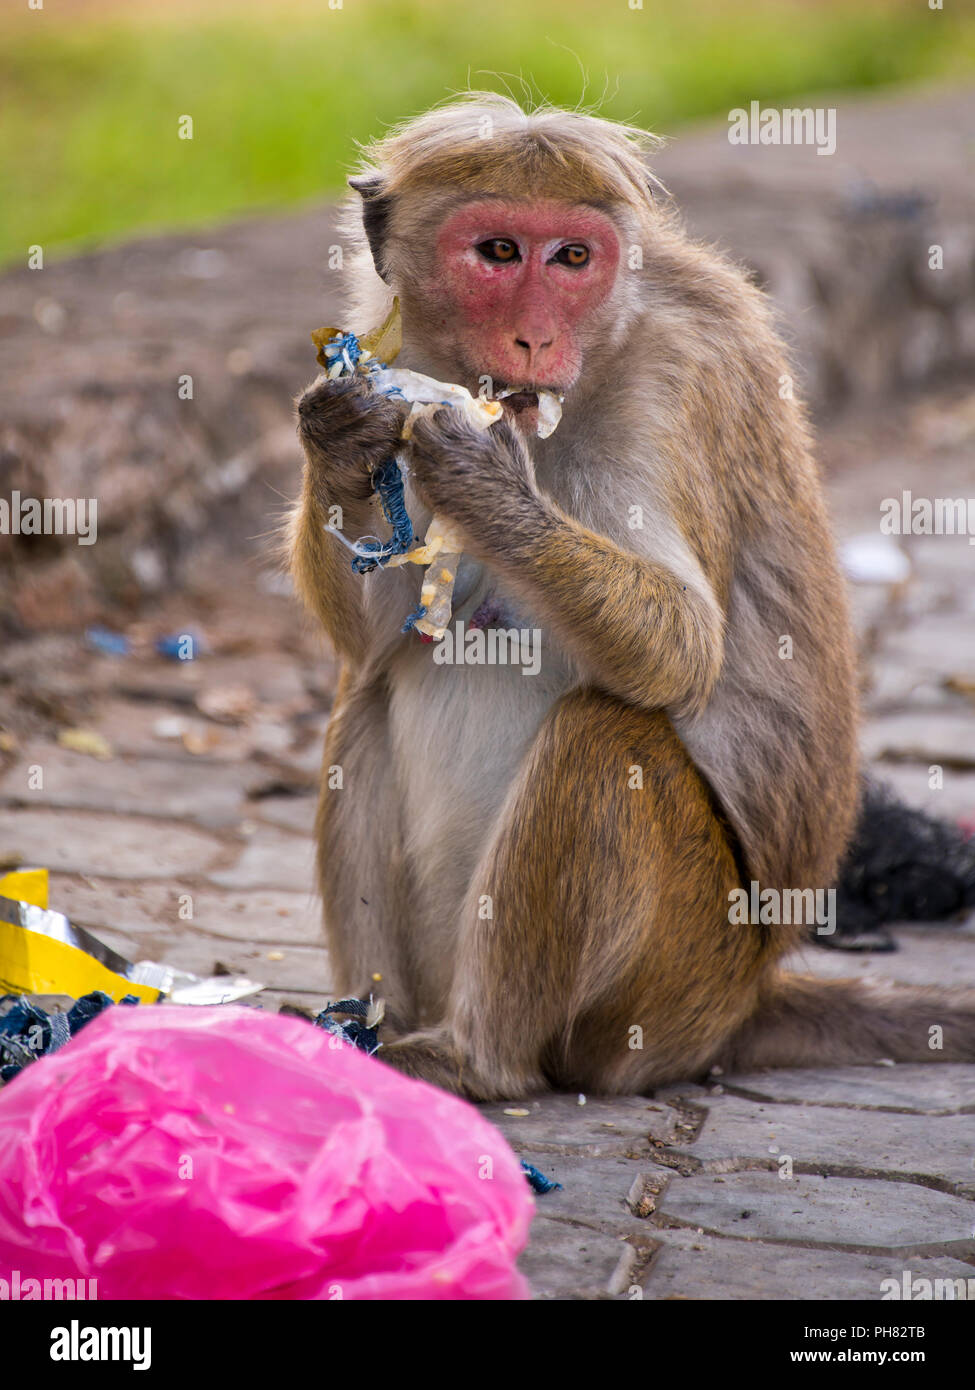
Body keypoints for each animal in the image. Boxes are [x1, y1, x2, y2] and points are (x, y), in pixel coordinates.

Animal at [288, 94, 975, 1099]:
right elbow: (376, 640)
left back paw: (472, 1060)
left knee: (604, 736)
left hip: (669, 986)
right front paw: (339, 436)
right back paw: (374, 1030)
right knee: (366, 696)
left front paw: (485, 479)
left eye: (573, 259)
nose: (534, 338)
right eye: (499, 251)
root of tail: (744, 999)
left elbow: (681, 651)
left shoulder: (674, 385)